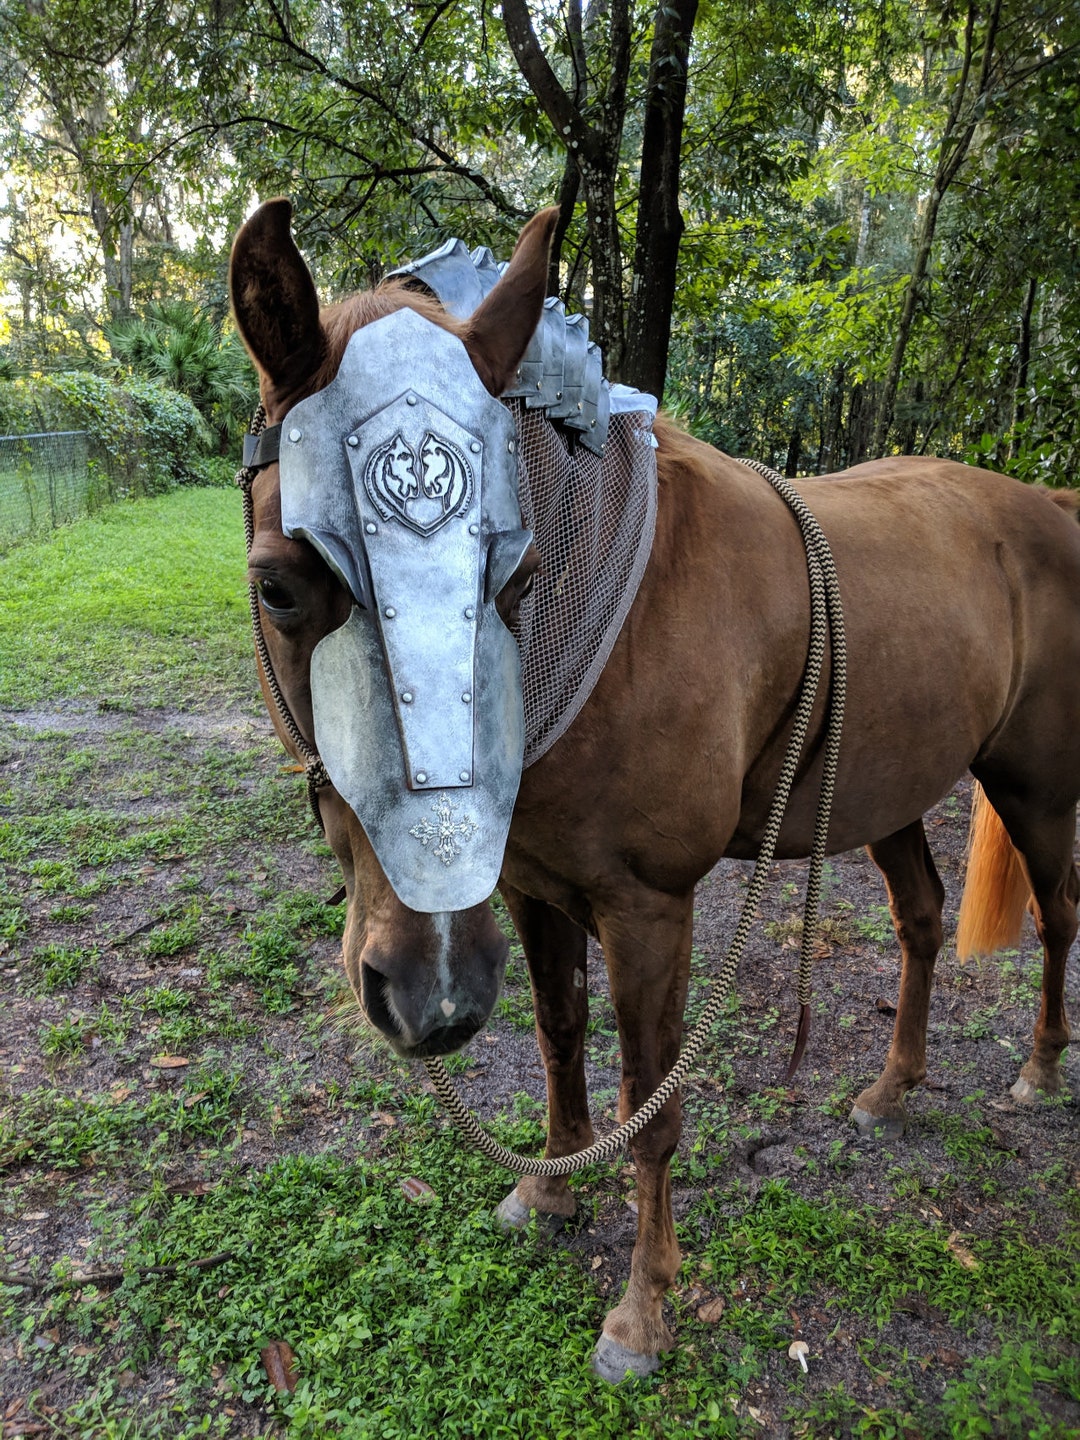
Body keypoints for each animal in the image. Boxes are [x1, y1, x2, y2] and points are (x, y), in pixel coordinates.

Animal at [229, 200, 1080, 1381]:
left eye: (521, 578)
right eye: (277, 587)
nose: (430, 992)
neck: (610, 628)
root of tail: (1047, 502)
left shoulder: (649, 909)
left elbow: (652, 1099)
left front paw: (642, 1312)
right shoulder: (530, 890)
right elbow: (559, 1034)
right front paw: (549, 1191)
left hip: (1036, 785)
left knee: (1059, 915)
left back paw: (1041, 1070)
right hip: (889, 788)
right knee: (920, 917)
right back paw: (893, 1086)